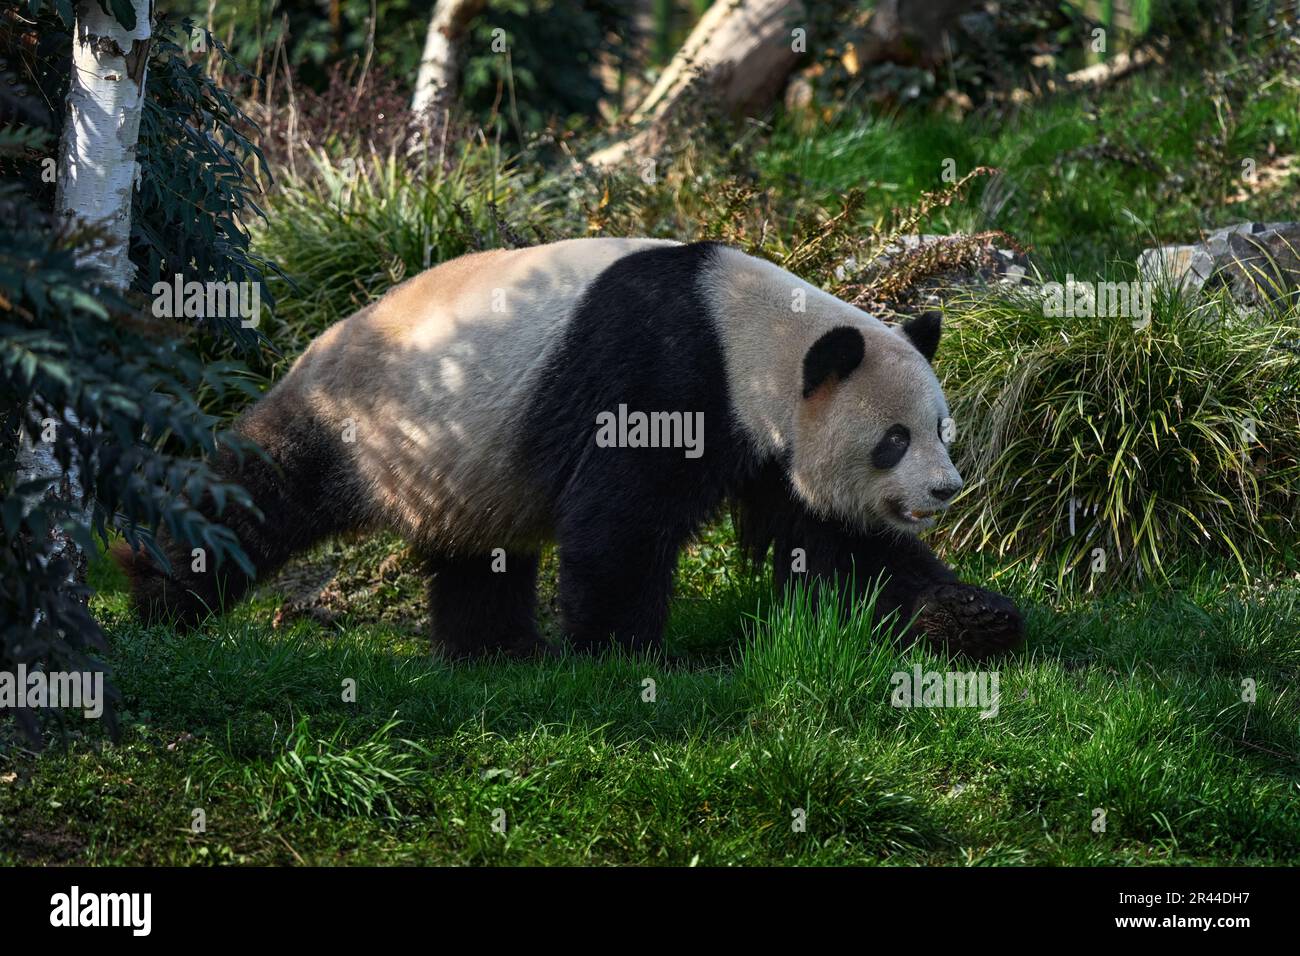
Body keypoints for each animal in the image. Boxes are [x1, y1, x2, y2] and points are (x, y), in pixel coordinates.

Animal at [114, 238, 1024, 659]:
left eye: (941, 428)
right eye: (894, 440)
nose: (944, 490)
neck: (757, 335)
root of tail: (318, 341)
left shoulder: (773, 441)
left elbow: (836, 541)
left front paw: (974, 616)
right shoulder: (670, 368)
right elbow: (621, 518)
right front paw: (632, 653)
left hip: (459, 466)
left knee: (476, 560)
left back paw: (496, 652)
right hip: (361, 420)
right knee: (258, 493)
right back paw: (157, 594)